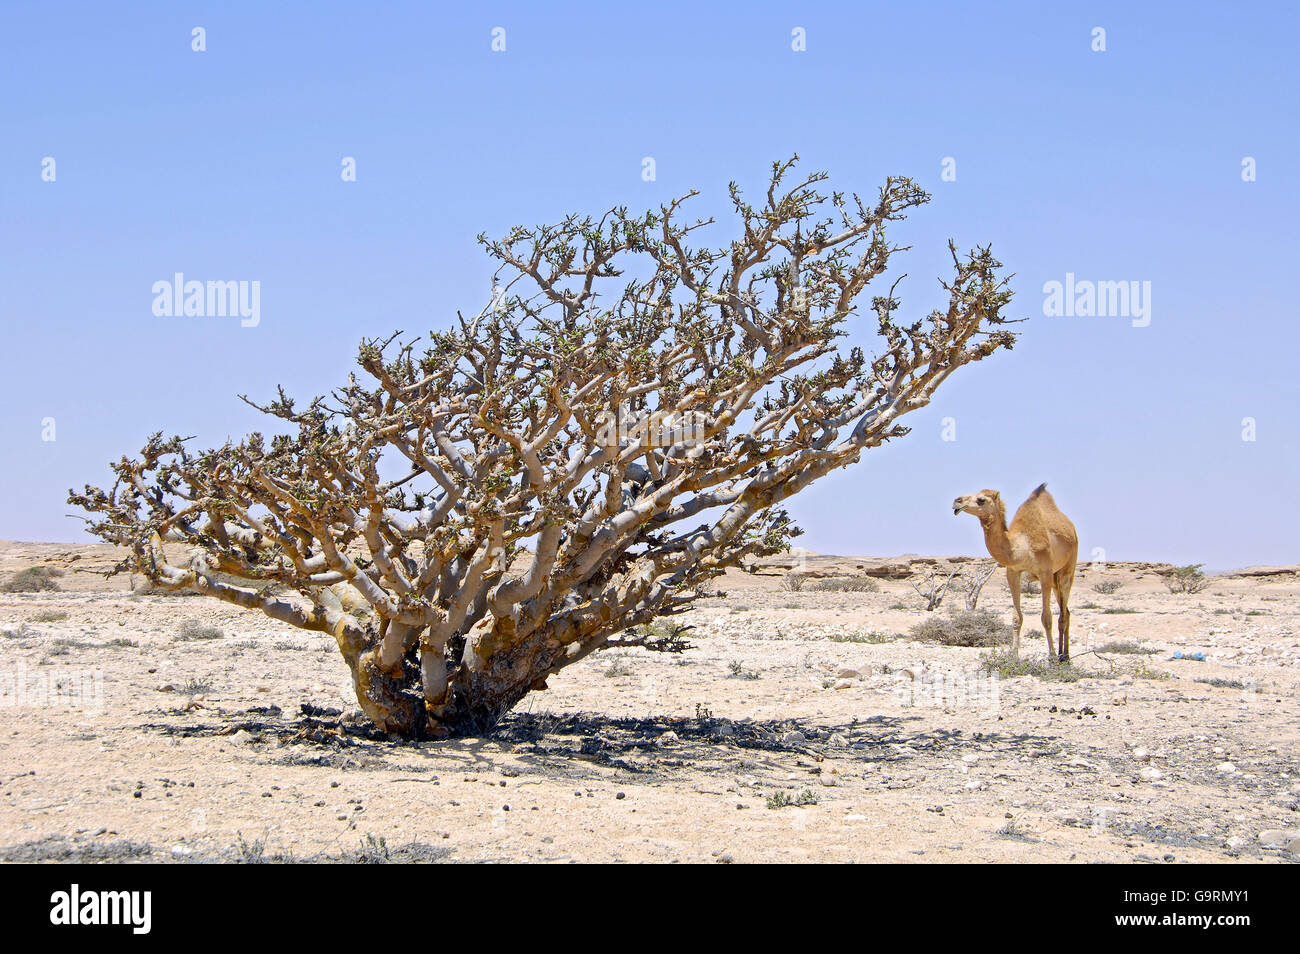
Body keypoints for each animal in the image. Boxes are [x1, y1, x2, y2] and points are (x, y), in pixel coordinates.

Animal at [952, 484, 1078, 661]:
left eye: (981, 499)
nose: (956, 501)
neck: (1022, 548)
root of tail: (1072, 529)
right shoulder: (1013, 572)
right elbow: (1016, 617)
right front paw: (1013, 654)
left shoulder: (1045, 573)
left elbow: (1046, 617)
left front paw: (1051, 656)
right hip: (1055, 578)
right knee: (1066, 611)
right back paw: (1063, 653)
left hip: (1066, 569)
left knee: (1063, 613)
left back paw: (1063, 655)